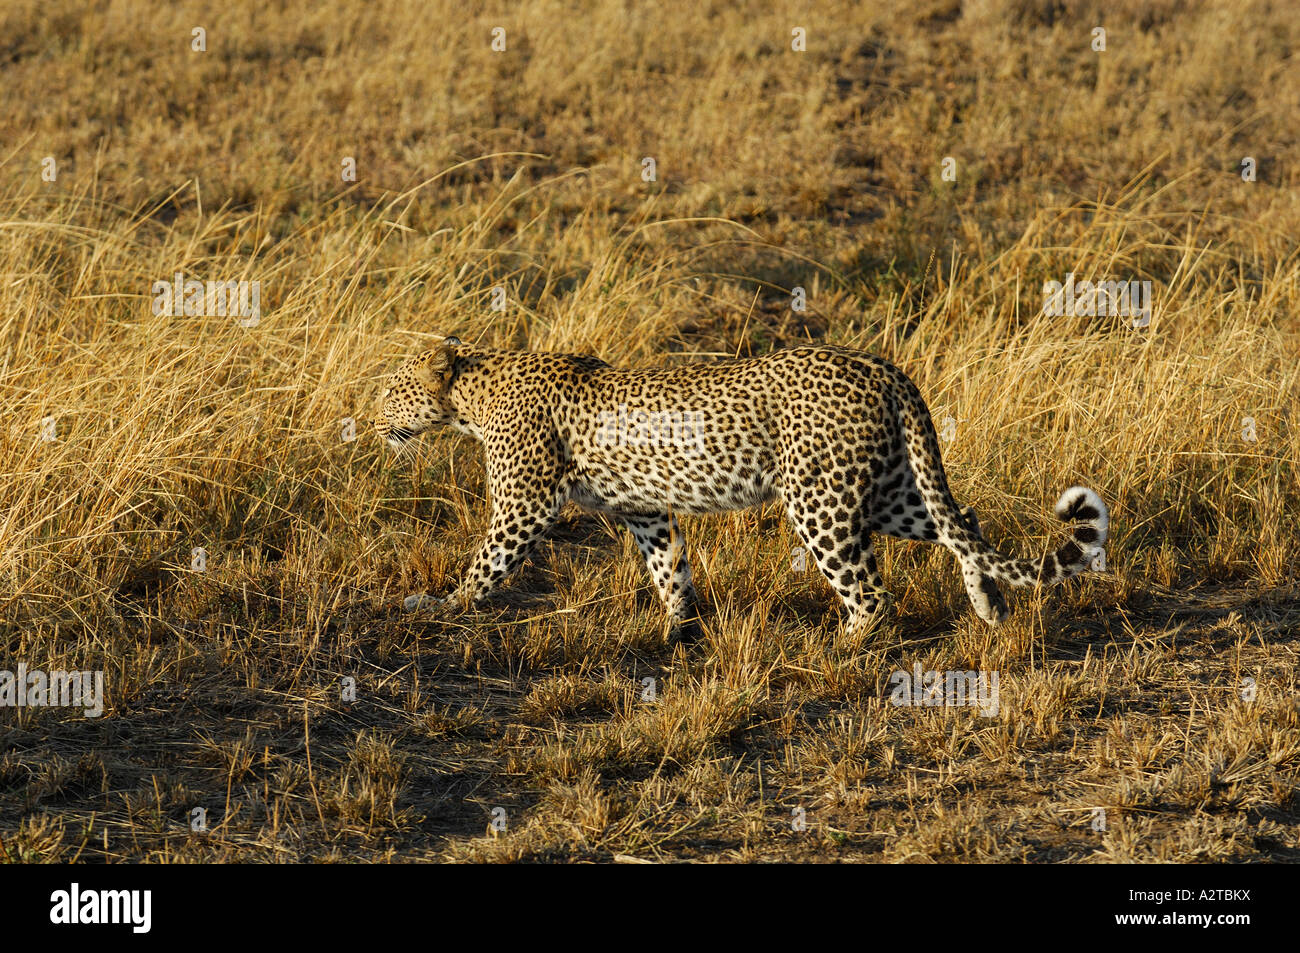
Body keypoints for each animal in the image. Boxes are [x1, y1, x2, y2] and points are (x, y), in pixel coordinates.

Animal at [375, 336, 1108, 637]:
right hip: (891, 490)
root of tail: (884, 368)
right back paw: (990, 607)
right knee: (967, 521)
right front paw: (677, 626)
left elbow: (486, 562)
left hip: (820, 498)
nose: (374, 416)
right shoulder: (644, 508)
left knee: (870, 592)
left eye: (392, 389)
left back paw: (841, 649)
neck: (470, 398)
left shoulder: (523, 503)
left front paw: (441, 607)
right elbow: (668, 565)